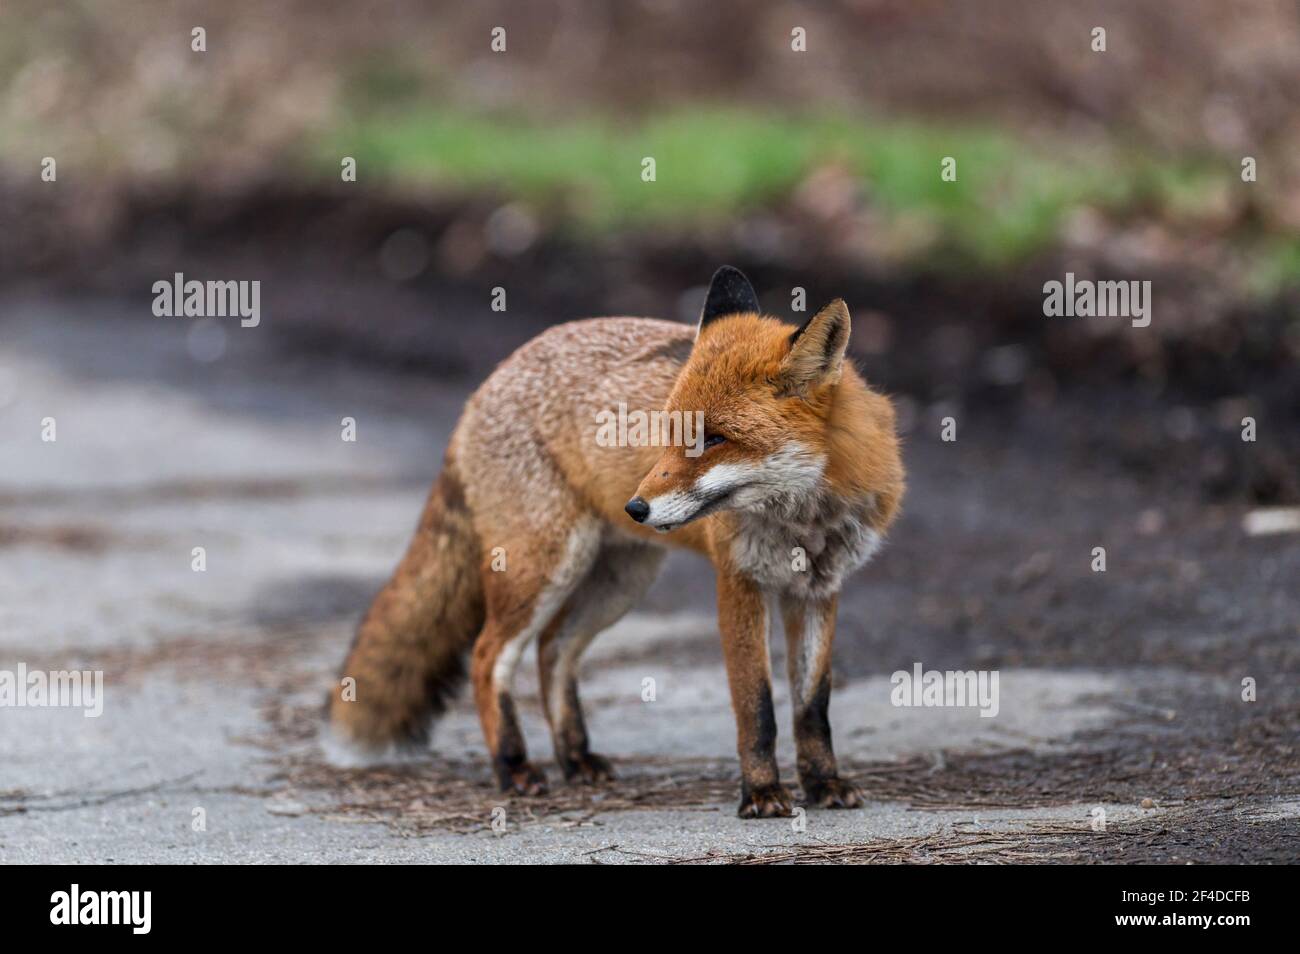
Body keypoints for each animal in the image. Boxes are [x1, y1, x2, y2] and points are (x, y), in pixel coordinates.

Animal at [328, 266, 905, 818]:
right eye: (670, 432)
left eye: (715, 439)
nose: (637, 508)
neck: (804, 520)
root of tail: (489, 382)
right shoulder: (740, 583)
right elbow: (756, 707)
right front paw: (761, 794)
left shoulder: (819, 590)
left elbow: (813, 707)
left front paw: (824, 783)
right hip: (544, 567)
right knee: (489, 657)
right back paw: (513, 766)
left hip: (620, 582)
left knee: (553, 649)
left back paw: (574, 756)